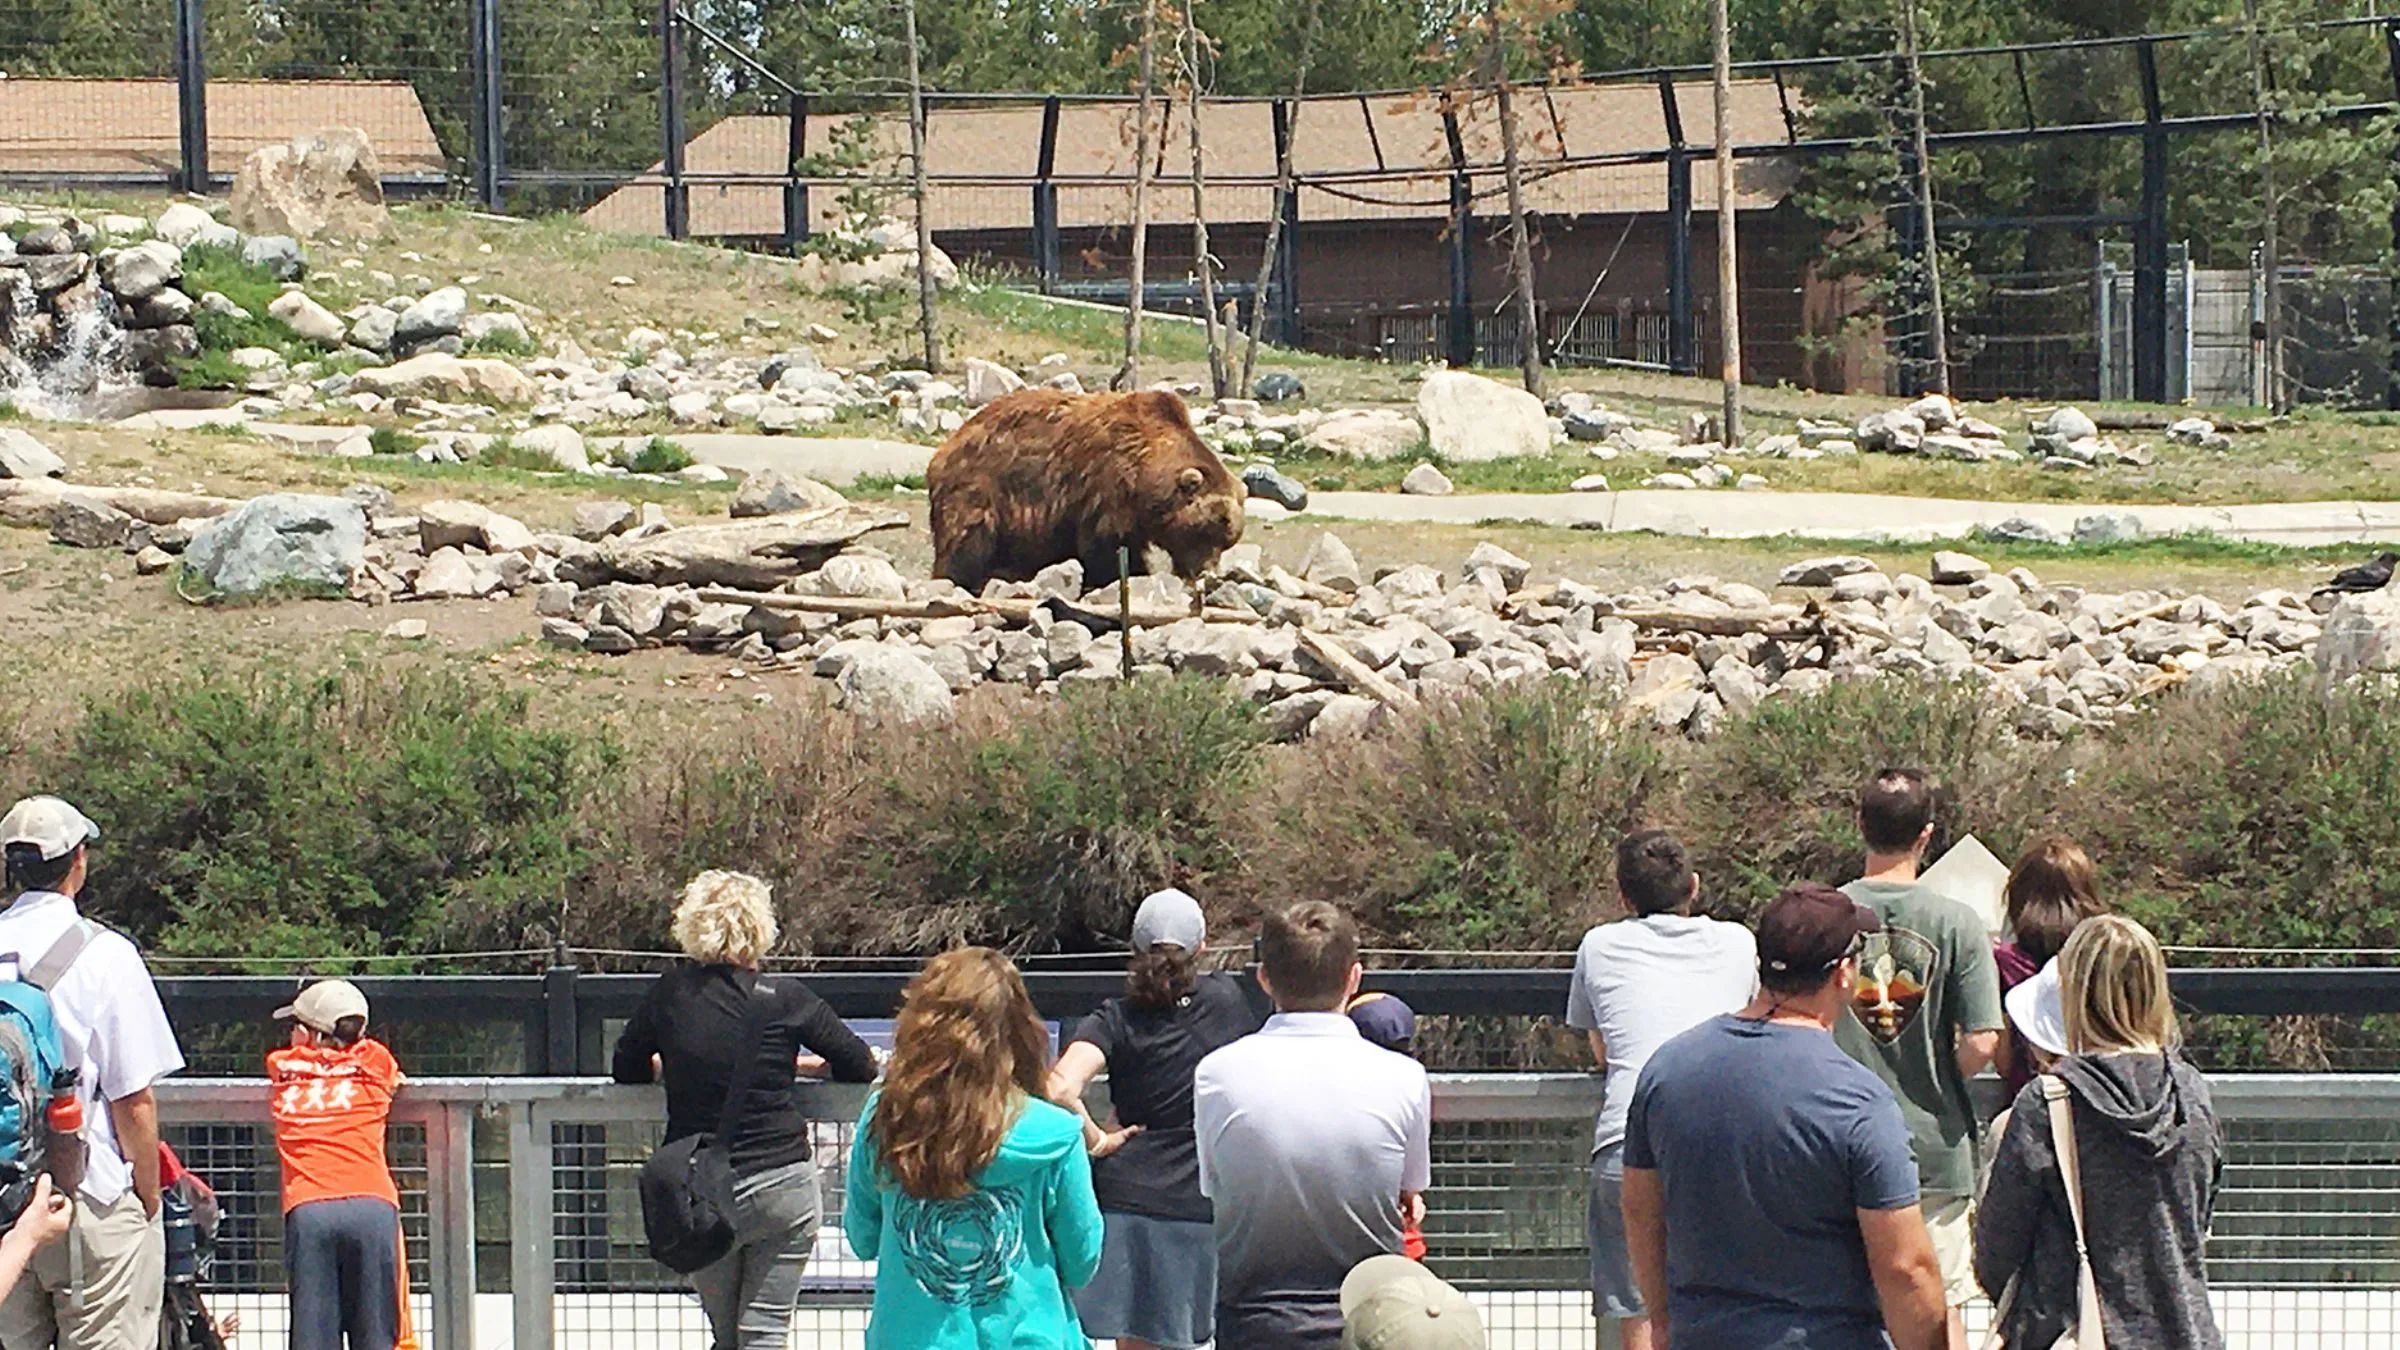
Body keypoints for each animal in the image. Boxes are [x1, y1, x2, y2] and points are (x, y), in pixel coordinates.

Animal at [927, 387, 1246, 598]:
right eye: (1205, 530)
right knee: (968, 539)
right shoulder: (1105, 489)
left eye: (1227, 540)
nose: (1206, 573)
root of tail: (945, 448)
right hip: (983, 488)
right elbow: (1108, 546)